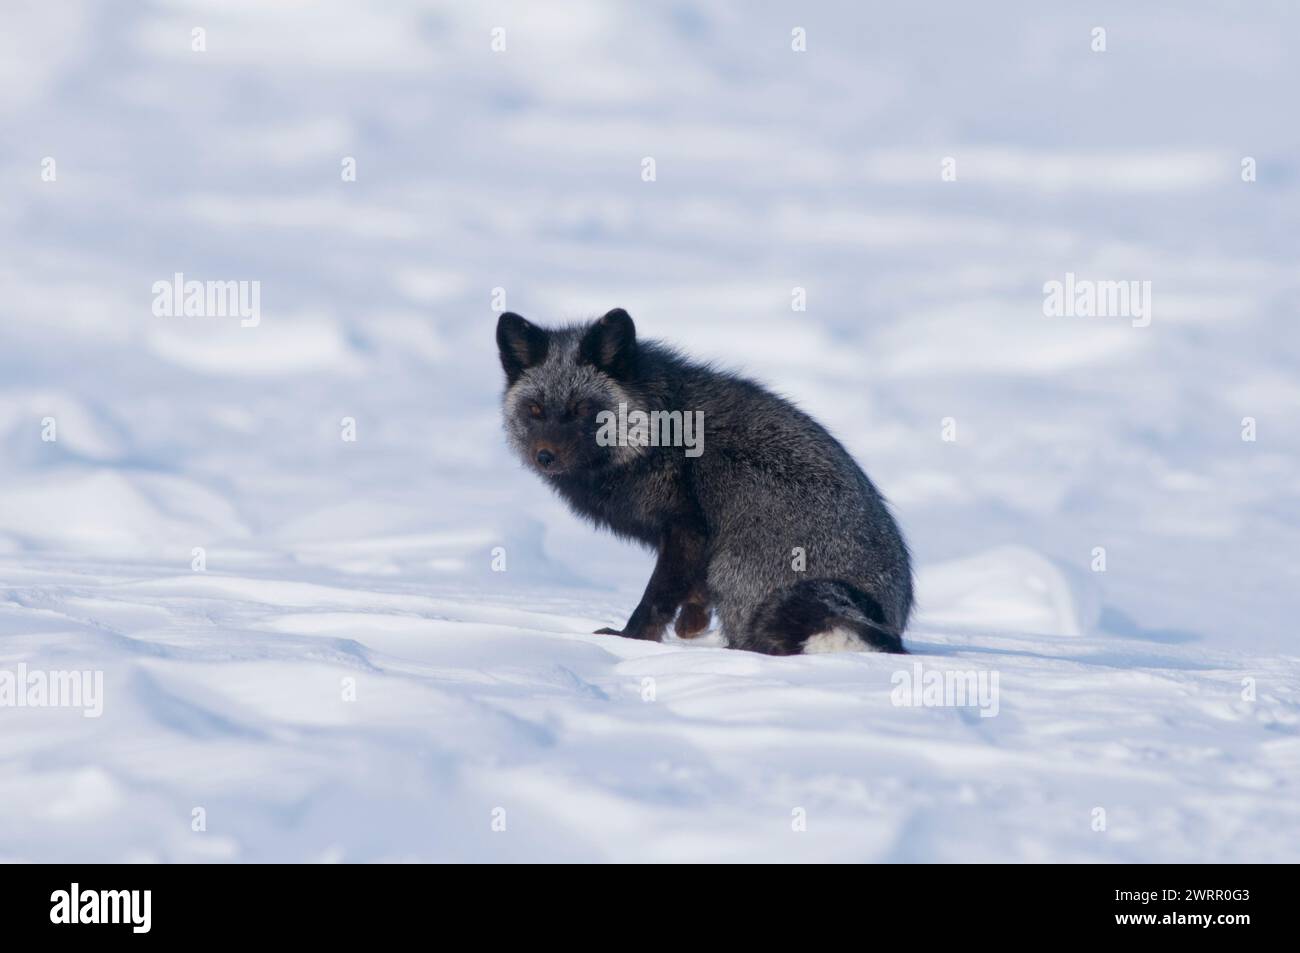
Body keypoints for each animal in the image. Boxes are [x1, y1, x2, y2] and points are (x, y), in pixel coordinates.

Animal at [496, 308, 912, 655]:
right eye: (535, 409)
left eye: (583, 409)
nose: (545, 457)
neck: (656, 431)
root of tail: (880, 614)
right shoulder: (694, 543)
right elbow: (691, 590)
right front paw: (691, 625)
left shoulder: (686, 526)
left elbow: (658, 596)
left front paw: (631, 640)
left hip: (736, 567)